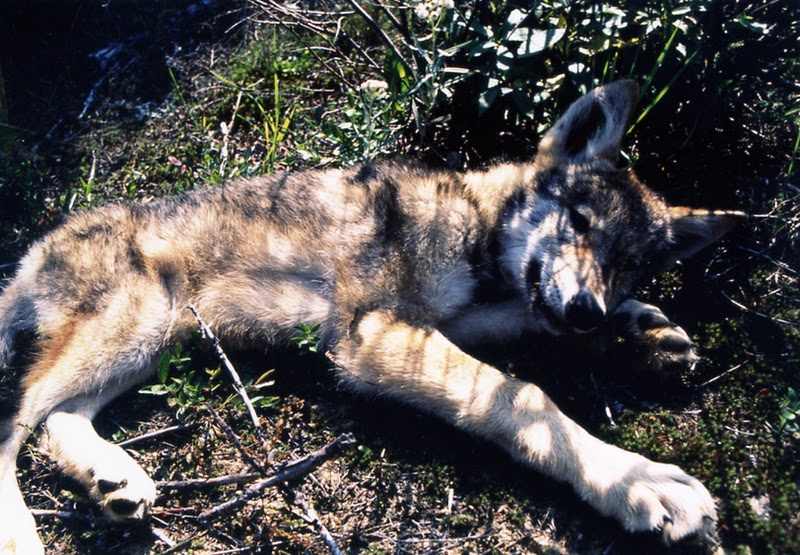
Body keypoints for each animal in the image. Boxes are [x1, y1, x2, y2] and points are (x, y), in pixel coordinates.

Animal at [0, 80, 742, 553]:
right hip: (131, 325)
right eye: (579, 222)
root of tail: (33, 249)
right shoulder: (373, 336)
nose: (589, 309)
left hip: (147, 344)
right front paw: (637, 480)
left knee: (56, 421)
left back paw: (114, 478)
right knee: (14, 423)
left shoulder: (456, 323)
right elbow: (525, 394)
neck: (475, 226)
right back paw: (20, 534)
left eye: (627, 264)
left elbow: (536, 329)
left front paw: (643, 331)